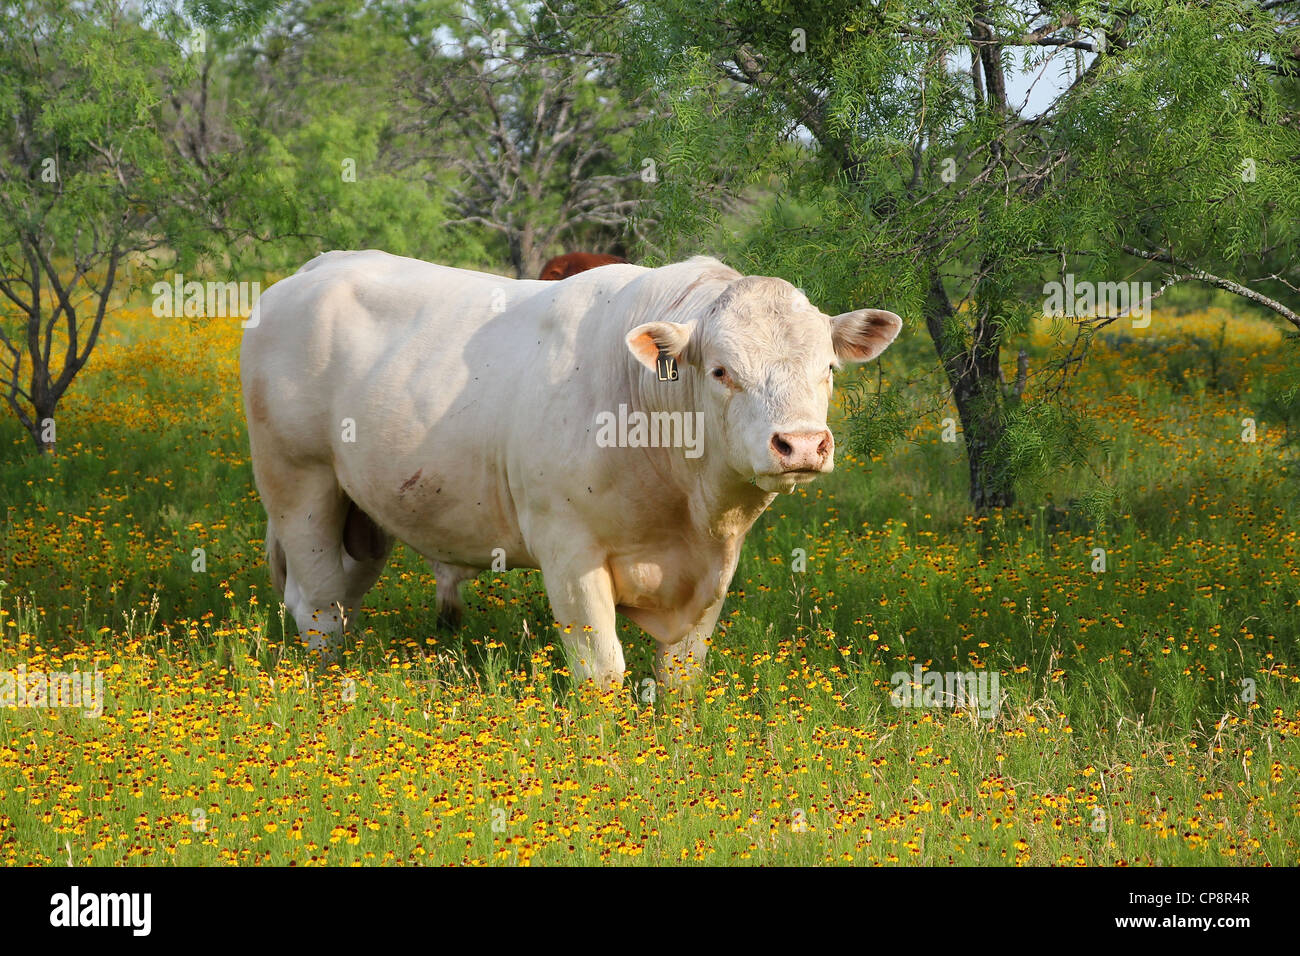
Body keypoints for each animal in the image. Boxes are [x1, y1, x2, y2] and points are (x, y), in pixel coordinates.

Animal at [239, 251, 902, 689]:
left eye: (828, 369)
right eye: (720, 370)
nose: (801, 444)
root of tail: (313, 271)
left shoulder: (715, 569)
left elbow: (682, 673)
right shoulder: (568, 549)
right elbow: (602, 670)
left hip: (362, 513)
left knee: (331, 596)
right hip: (299, 485)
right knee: (319, 607)